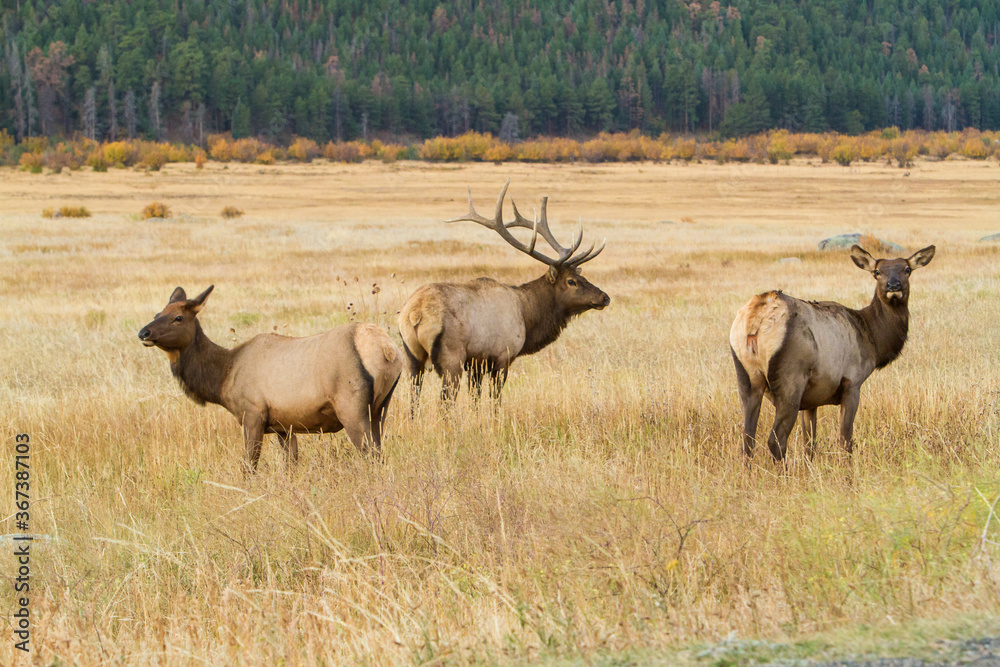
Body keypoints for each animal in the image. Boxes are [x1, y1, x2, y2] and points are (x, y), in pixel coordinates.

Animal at [138, 285, 403, 471]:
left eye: (178, 318)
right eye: (158, 313)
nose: (144, 332)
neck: (223, 378)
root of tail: (388, 350)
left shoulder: (252, 414)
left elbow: (249, 466)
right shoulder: (284, 426)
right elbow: (290, 466)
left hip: (351, 407)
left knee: (371, 455)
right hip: (380, 407)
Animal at [398, 179, 610, 408]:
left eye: (581, 275)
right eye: (571, 281)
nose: (604, 297)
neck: (527, 316)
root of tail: (415, 313)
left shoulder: (477, 362)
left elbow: (475, 399)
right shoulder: (502, 356)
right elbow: (495, 400)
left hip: (411, 357)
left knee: (413, 398)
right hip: (451, 356)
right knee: (445, 401)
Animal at [730, 244, 935, 462]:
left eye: (907, 269)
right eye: (877, 272)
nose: (893, 286)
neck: (873, 340)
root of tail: (756, 320)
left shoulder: (810, 401)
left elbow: (810, 445)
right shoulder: (852, 382)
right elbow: (845, 440)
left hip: (746, 377)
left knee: (747, 440)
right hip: (790, 378)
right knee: (776, 440)